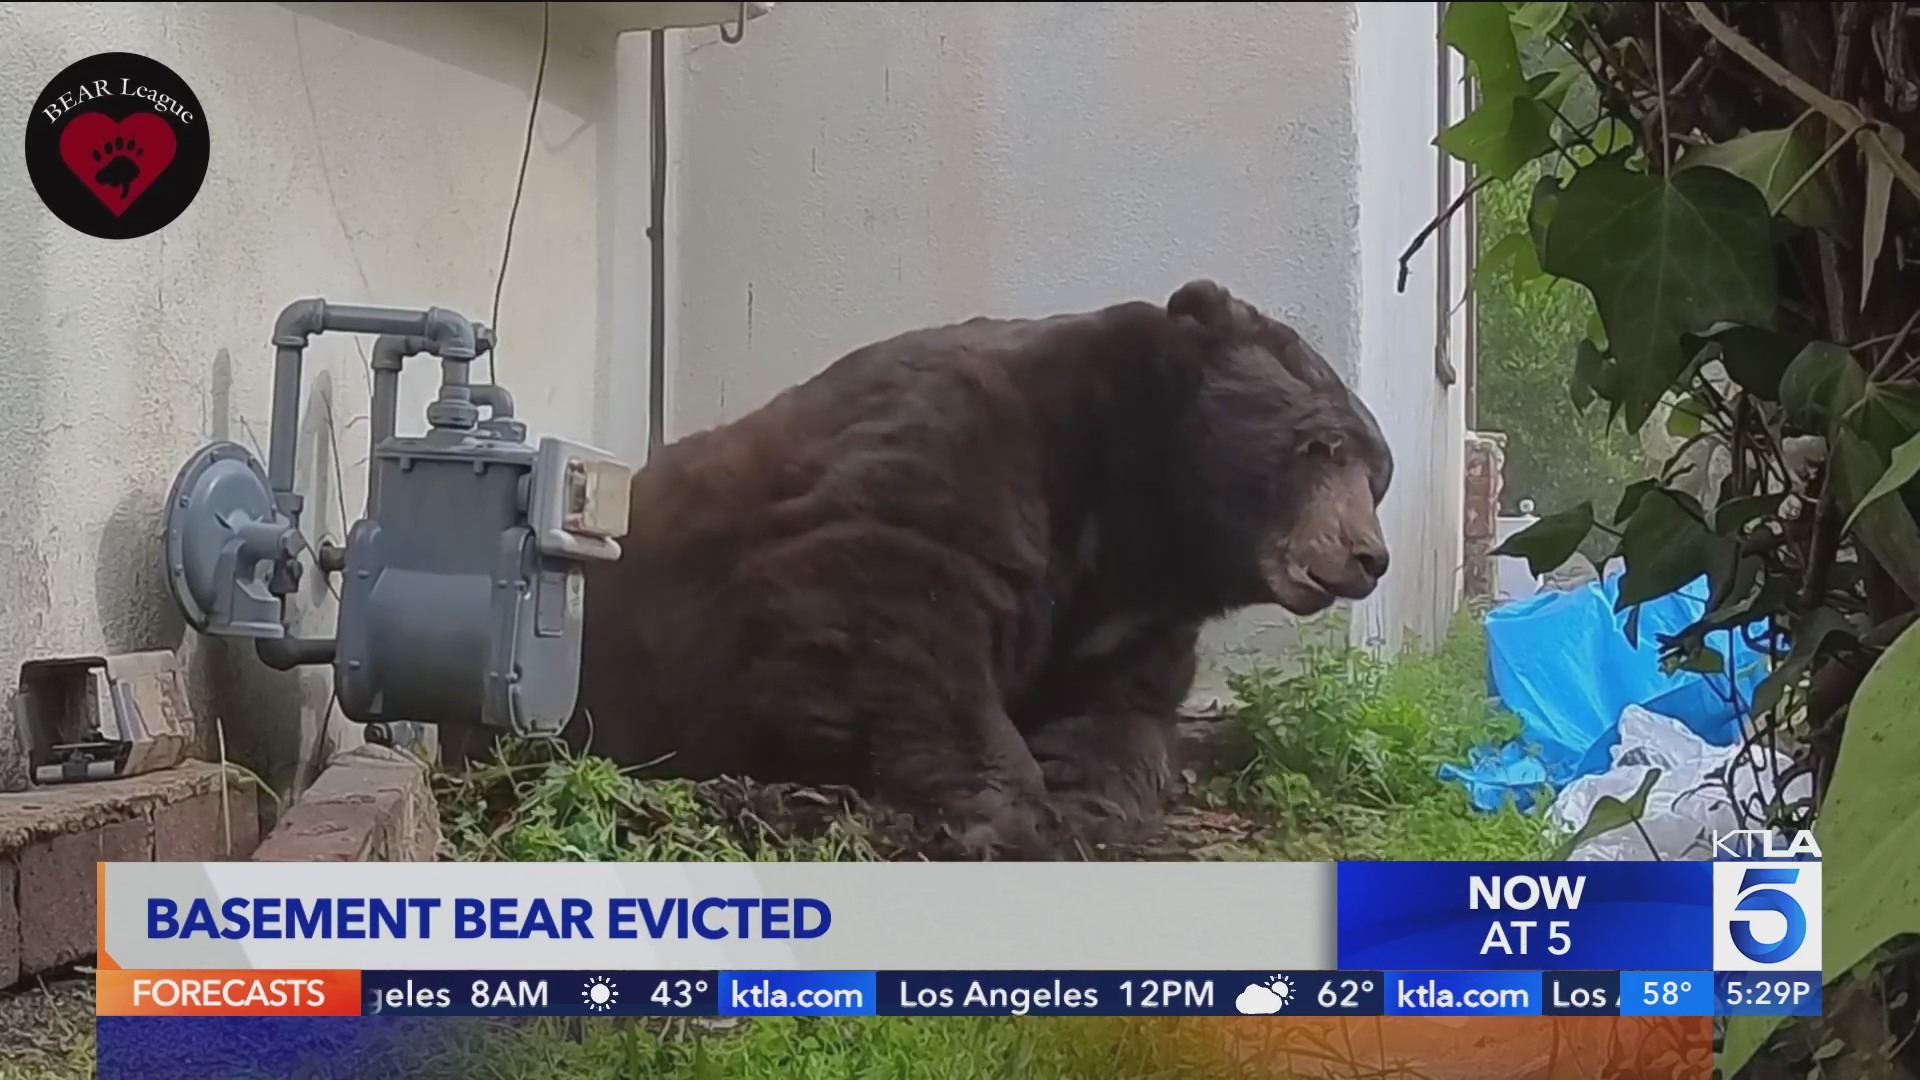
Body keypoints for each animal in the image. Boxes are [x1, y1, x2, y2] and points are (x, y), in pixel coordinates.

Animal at [574, 279, 1394, 859]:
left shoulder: (1130, 614)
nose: (1368, 557)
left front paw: (1087, 797)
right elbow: (888, 595)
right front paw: (1006, 808)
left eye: (1378, 474)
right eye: (1323, 446)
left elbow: (1117, 708)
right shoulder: (970, 443)